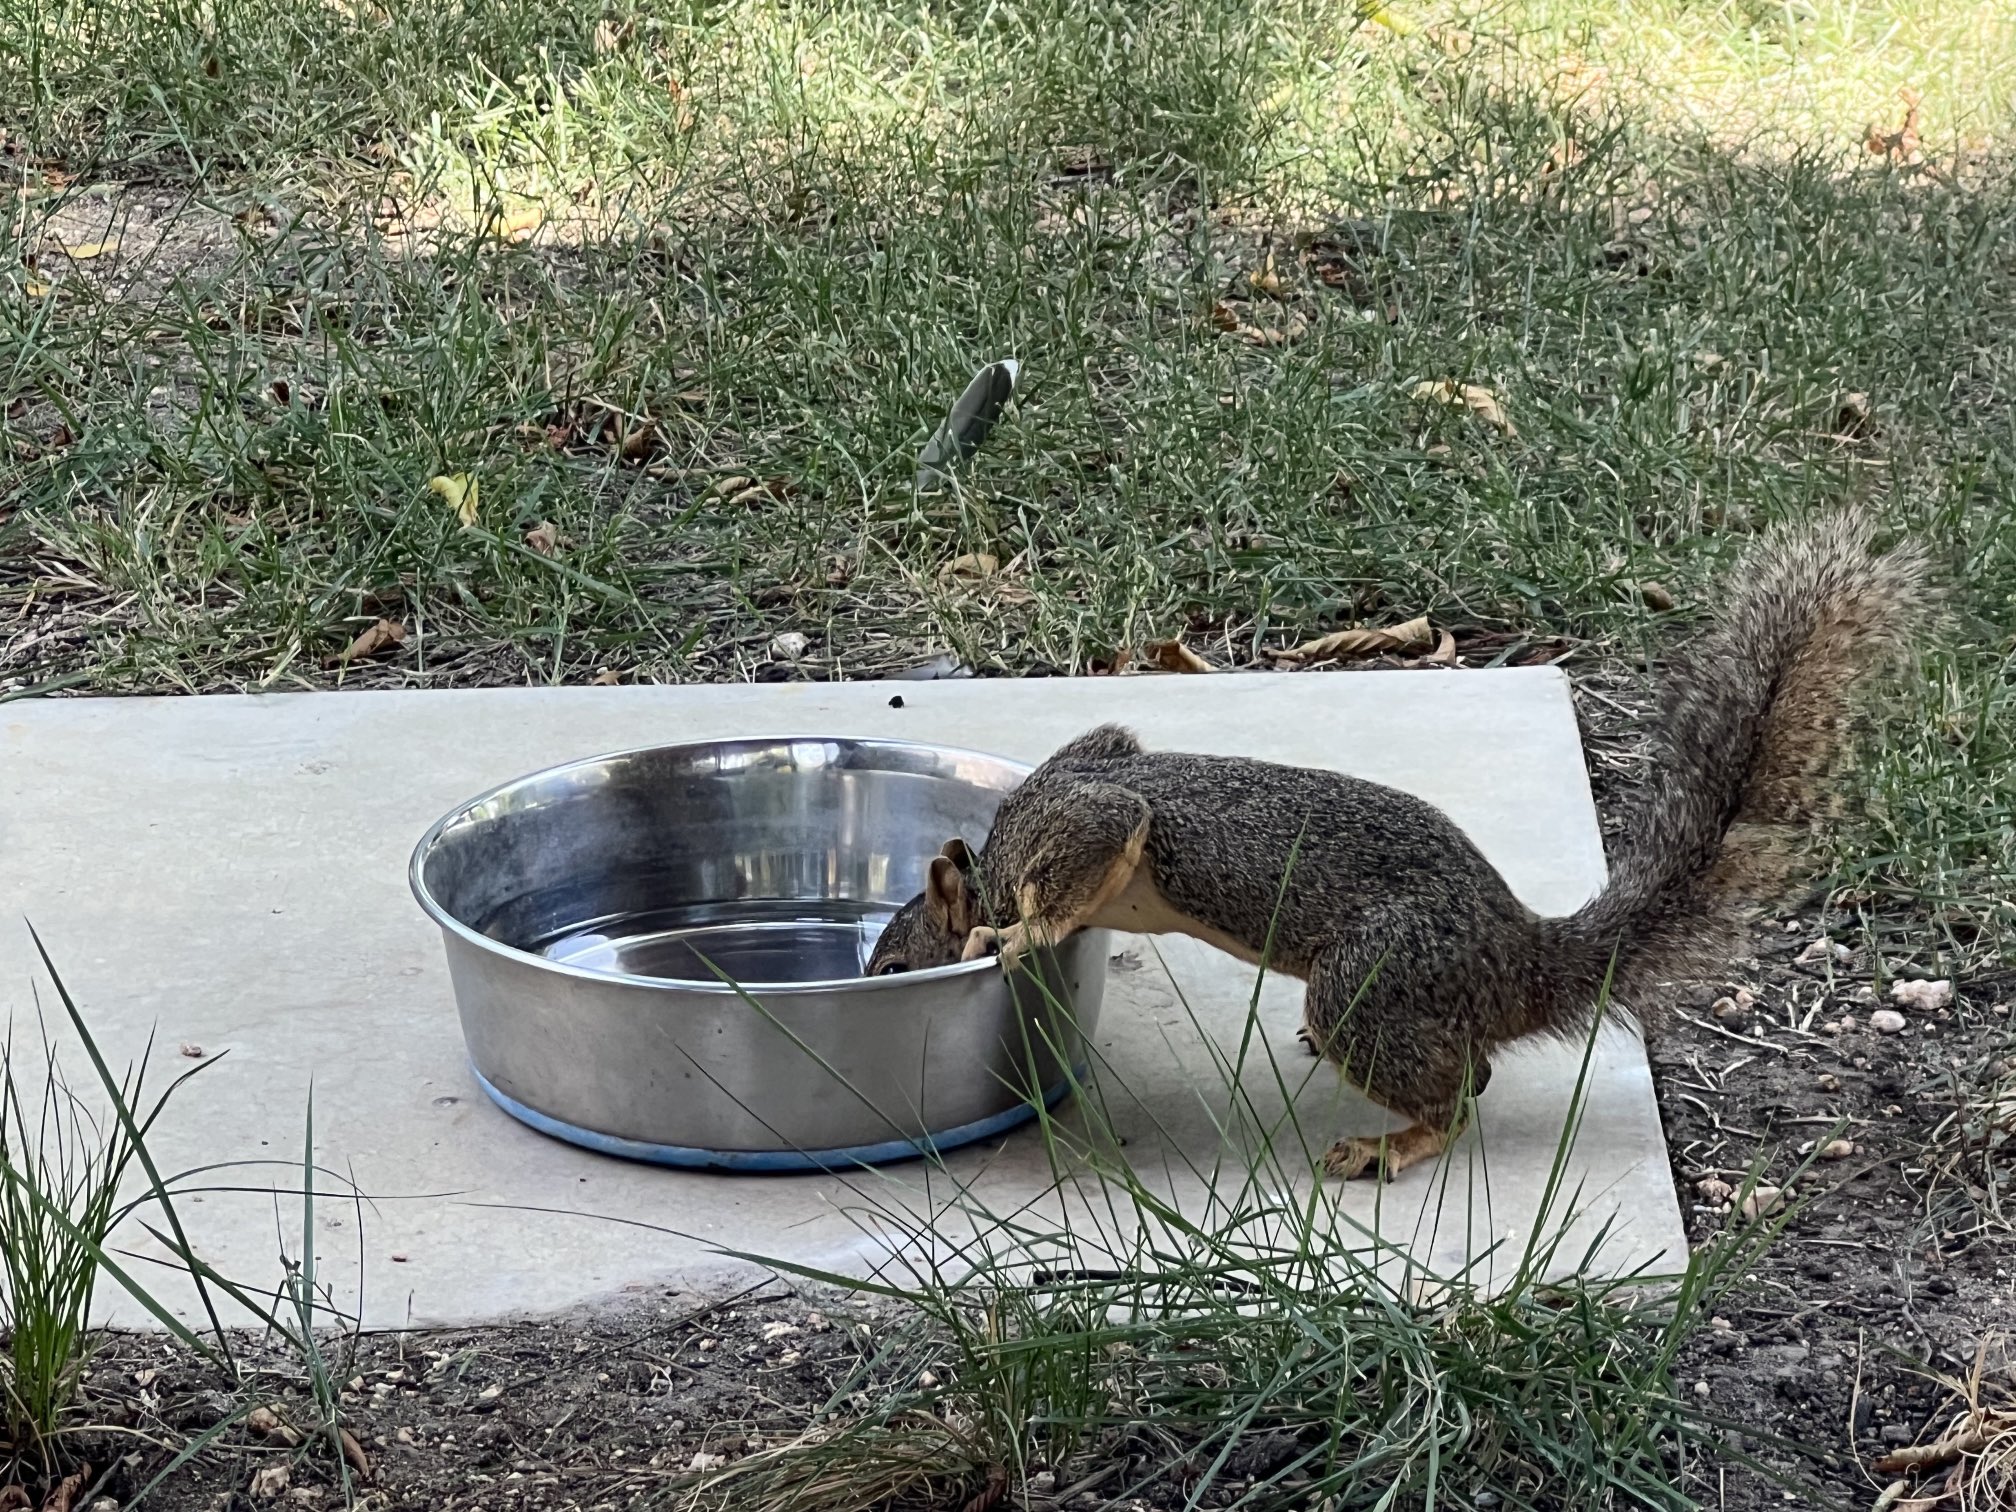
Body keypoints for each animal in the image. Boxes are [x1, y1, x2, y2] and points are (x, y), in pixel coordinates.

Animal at [866, 513, 1928, 1181]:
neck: (998, 854)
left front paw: (1016, 934)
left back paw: (1389, 1148)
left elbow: (1101, 836)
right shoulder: (1096, 752)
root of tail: (1515, 961)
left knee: (1463, 1091)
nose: (880, 977)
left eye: (888, 964)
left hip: (1374, 981)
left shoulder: (1079, 818)